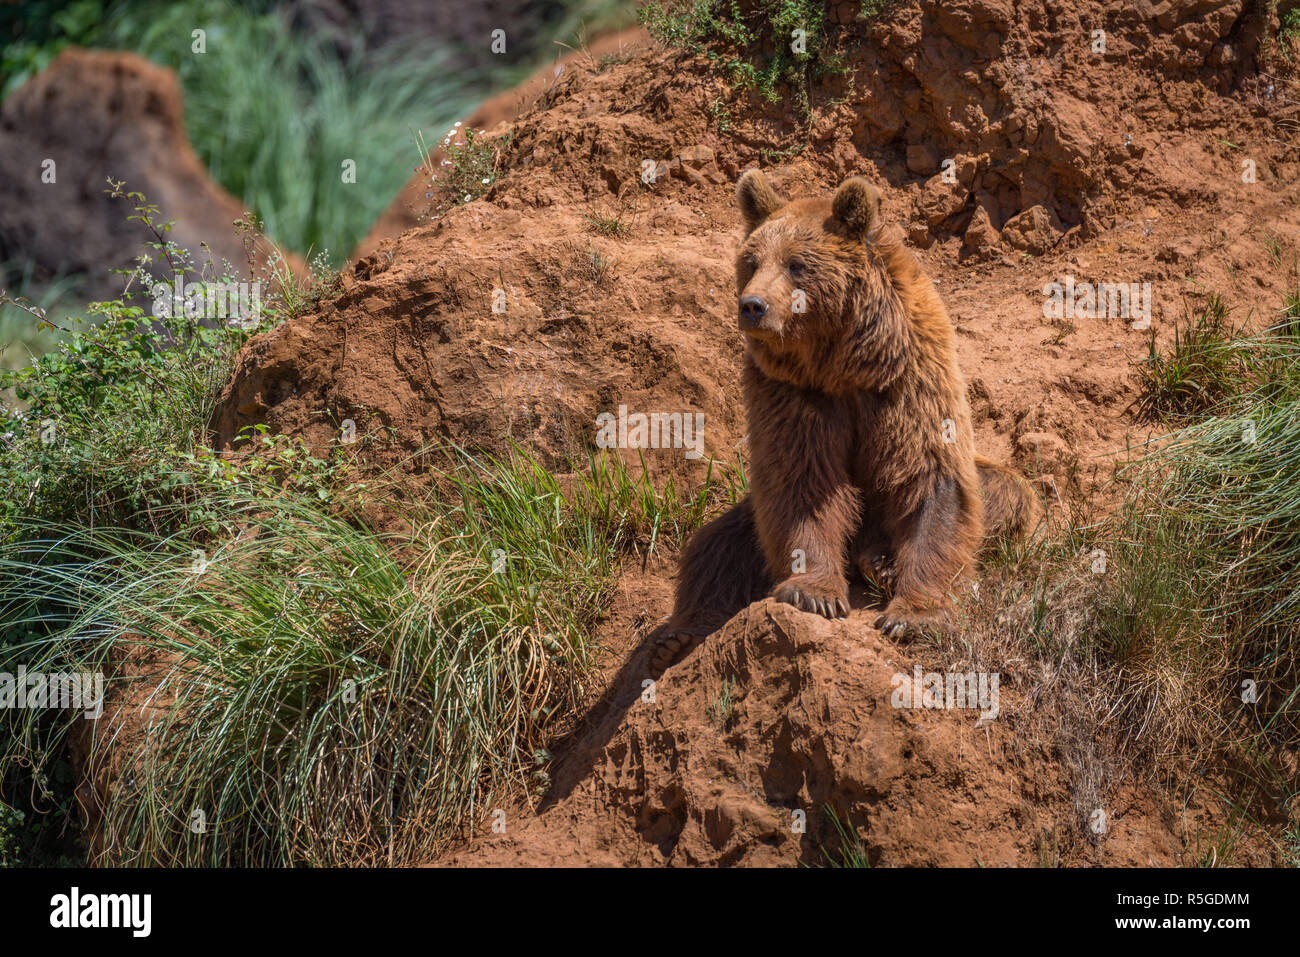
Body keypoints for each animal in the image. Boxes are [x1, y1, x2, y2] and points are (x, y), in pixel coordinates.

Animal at [648, 170, 1039, 675]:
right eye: (751, 261)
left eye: (796, 264)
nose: (752, 305)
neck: (840, 364)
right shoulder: (793, 394)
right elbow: (802, 484)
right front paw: (814, 594)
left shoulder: (907, 380)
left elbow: (931, 479)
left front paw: (914, 614)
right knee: (715, 545)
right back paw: (676, 637)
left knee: (1005, 490)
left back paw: (882, 561)